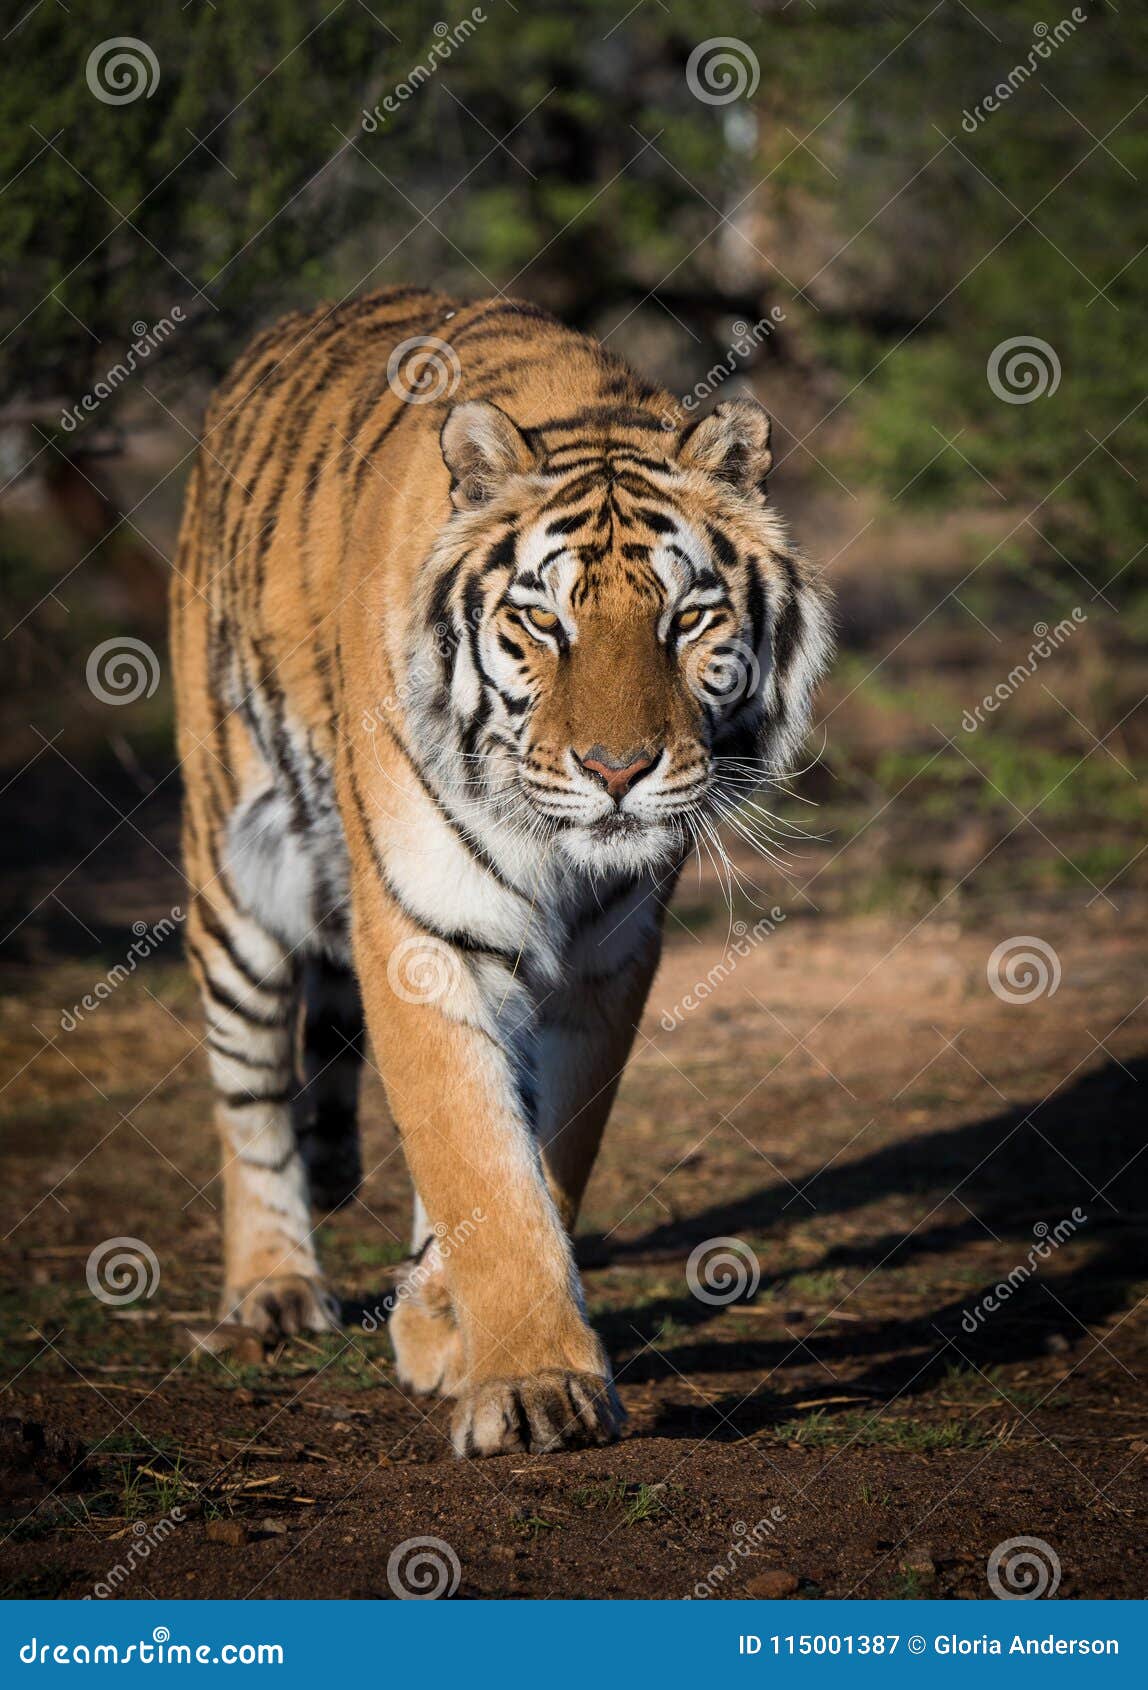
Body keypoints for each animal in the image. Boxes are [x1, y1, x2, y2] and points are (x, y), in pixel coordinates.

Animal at [170, 285, 832, 1457]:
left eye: (686, 619)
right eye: (541, 620)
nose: (616, 769)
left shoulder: (604, 963)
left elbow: (538, 1158)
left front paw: (448, 1327)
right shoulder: (424, 931)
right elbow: (472, 1149)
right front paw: (530, 1385)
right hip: (236, 874)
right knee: (247, 1092)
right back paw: (271, 1289)